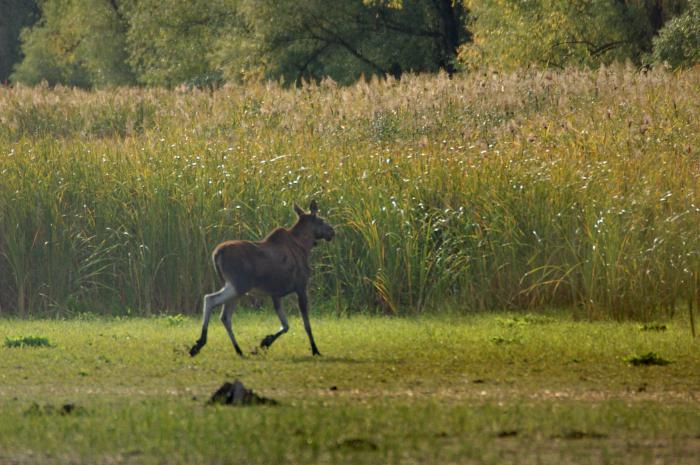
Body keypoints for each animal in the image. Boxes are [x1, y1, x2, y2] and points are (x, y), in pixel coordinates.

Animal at [190, 198, 334, 356]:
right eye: (321, 220)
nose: (332, 231)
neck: (304, 246)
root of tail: (216, 254)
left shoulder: (276, 294)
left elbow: (286, 325)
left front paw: (266, 341)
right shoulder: (301, 286)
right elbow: (306, 325)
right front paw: (315, 350)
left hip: (233, 288)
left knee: (225, 316)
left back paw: (237, 349)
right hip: (239, 285)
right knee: (210, 300)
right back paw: (200, 343)